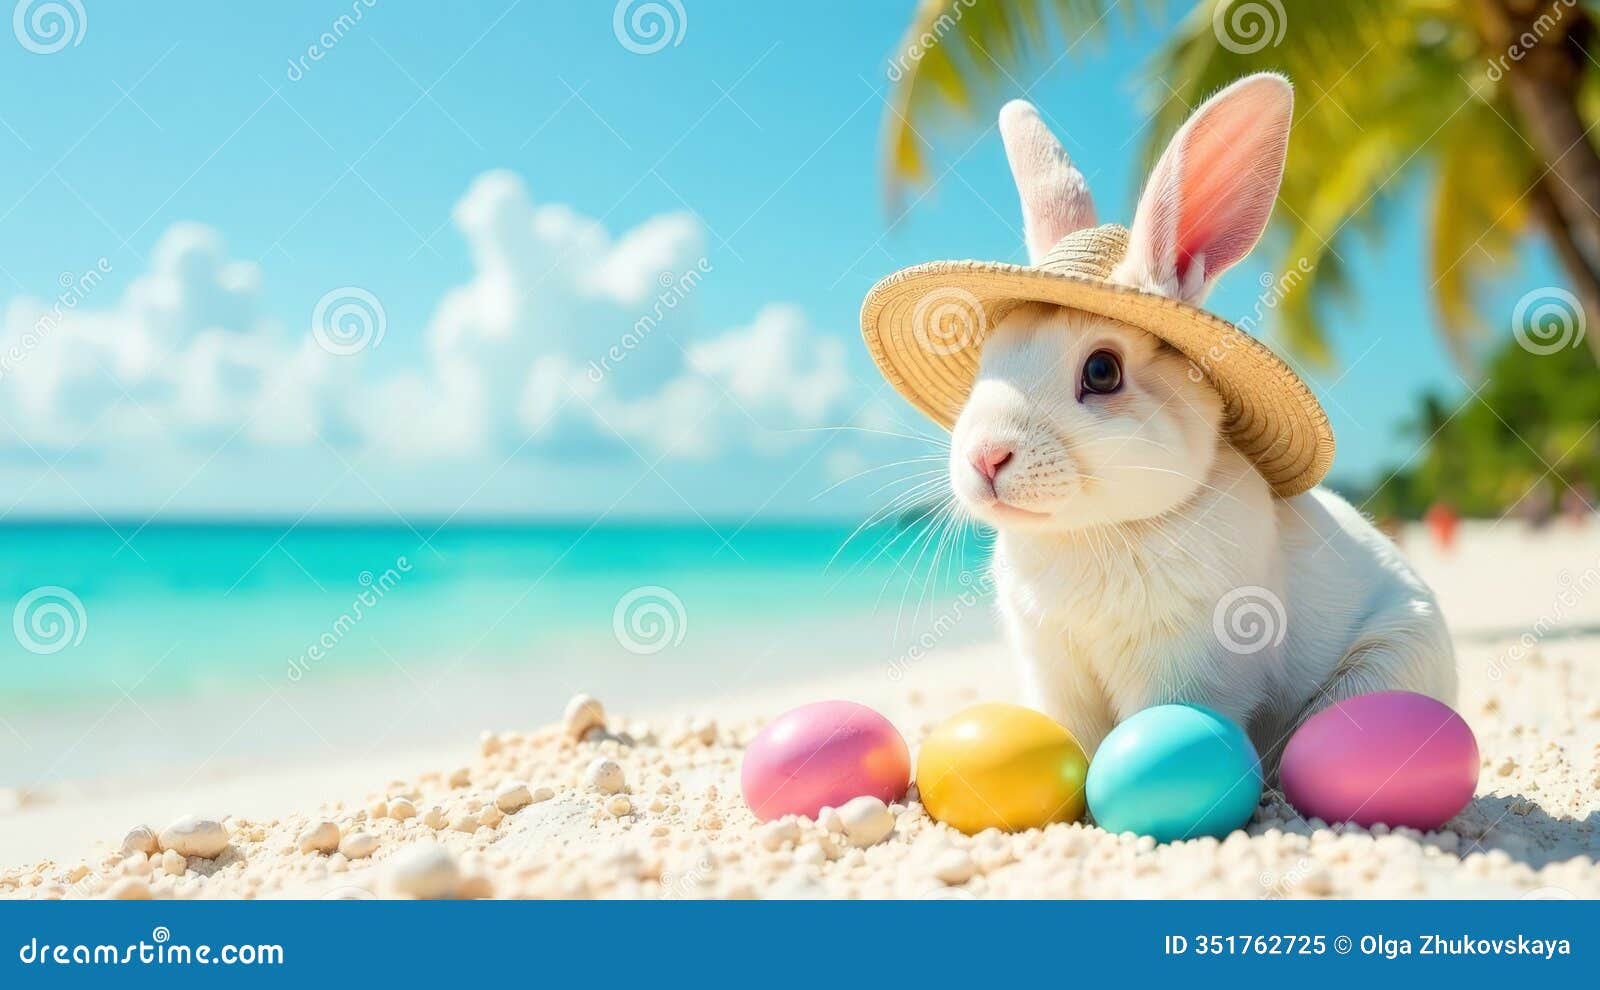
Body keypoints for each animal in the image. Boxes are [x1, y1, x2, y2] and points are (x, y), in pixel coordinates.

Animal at [950, 74, 1456, 769]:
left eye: (1102, 371)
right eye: (987, 361)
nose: (986, 458)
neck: (1097, 530)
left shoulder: (1187, 668)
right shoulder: (1054, 671)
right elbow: (1071, 738)